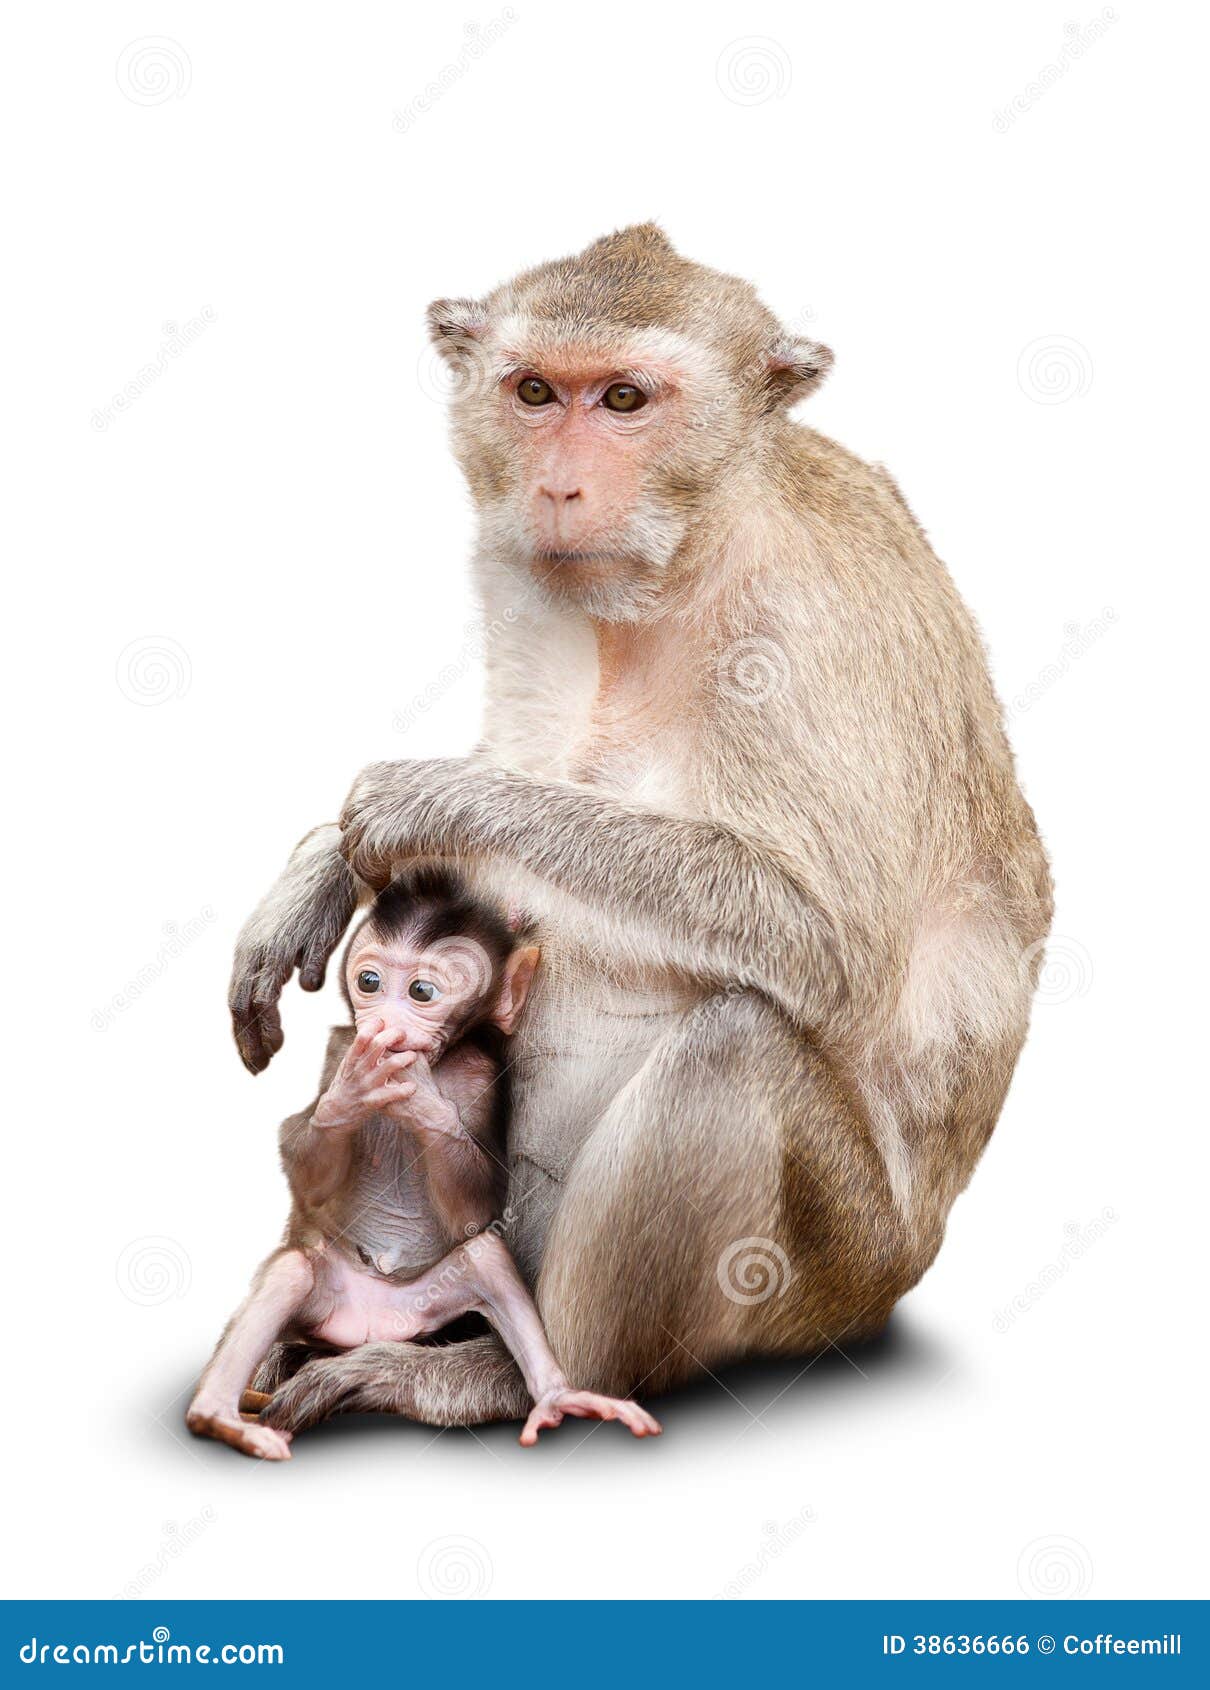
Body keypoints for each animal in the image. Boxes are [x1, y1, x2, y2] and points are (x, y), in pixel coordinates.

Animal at [190, 865, 660, 1456]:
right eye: (369, 982)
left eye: (422, 991)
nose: (385, 1024)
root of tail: (368, 1328)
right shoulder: (339, 1051)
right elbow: (308, 1174)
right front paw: (350, 1095)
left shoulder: (483, 1076)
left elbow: (479, 1206)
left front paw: (422, 1100)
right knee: (293, 1270)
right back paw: (218, 1414)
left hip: (425, 1308)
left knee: (485, 1255)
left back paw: (557, 1397)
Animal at [228, 224, 1053, 1433]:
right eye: (534, 392)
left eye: (623, 398)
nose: (559, 484)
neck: (680, 567)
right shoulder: (524, 582)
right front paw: (321, 867)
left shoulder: (806, 623)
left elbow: (821, 937)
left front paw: (414, 801)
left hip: (829, 1273)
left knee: (734, 1044)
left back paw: (517, 1374)